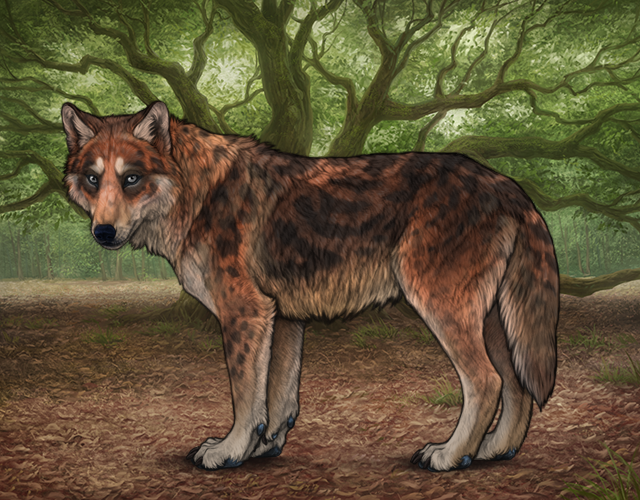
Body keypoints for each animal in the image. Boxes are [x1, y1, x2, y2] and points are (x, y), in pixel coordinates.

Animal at [61, 101, 559, 472]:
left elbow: (245, 396)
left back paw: (451, 455)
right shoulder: (281, 318)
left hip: (443, 310)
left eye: (131, 178)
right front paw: (261, 449)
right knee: (516, 387)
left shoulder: (246, 312)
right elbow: (276, 400)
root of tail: (506, 184)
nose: (102, 232)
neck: (197, 193)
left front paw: (229, 451)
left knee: (486, 382)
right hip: (493, 323)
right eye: (93, 179)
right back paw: (494, 451)